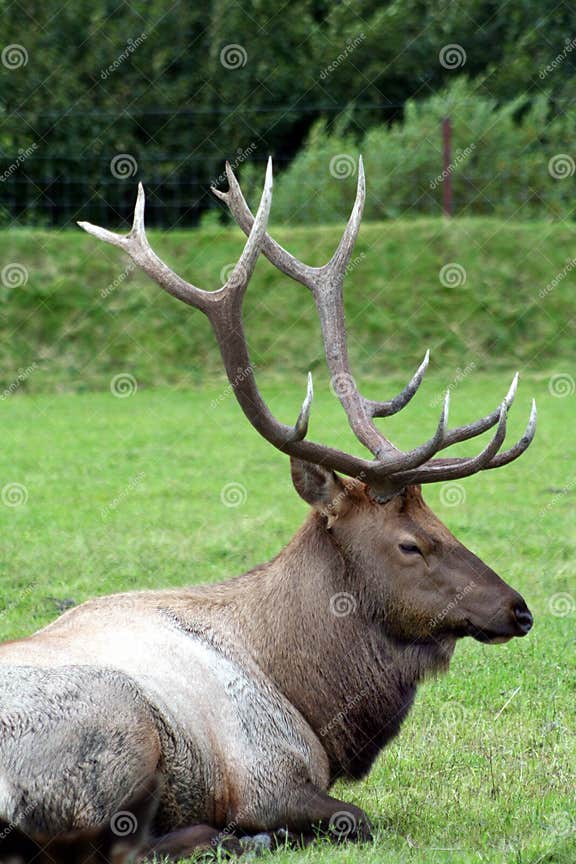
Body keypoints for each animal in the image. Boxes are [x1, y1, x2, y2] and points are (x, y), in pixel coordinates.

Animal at [0, 158, 536, 859]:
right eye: (410, 543)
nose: (519, 609)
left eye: (440, 522)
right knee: (128, 844)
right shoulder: (266, 772)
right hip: (119, 722)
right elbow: (357, 817)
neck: (311, 697)